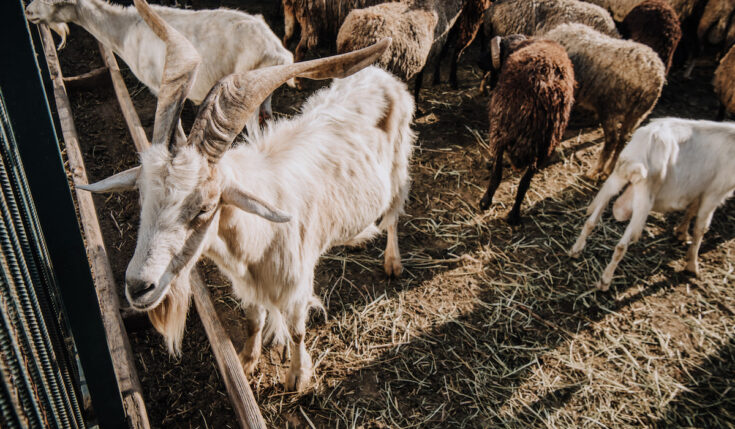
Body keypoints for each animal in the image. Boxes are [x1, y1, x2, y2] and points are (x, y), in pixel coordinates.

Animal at [477, 35, 575, 224]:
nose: (478, 60)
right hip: (546, 143)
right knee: (524, 183)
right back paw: (514, 214)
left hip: (501, 129)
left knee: (498, 173)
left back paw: (486, 200)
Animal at [570, 118, 735, 290]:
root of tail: (641, 151)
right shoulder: (714, 193)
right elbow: (700, 229)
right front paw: (692, 266)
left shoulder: (700, 189)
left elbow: (691, 210)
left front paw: (681, 233)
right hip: (643, 201)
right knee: (621, 246)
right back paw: (605, 280)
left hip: (616, 180)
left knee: (591, 221)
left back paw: (576, 250)